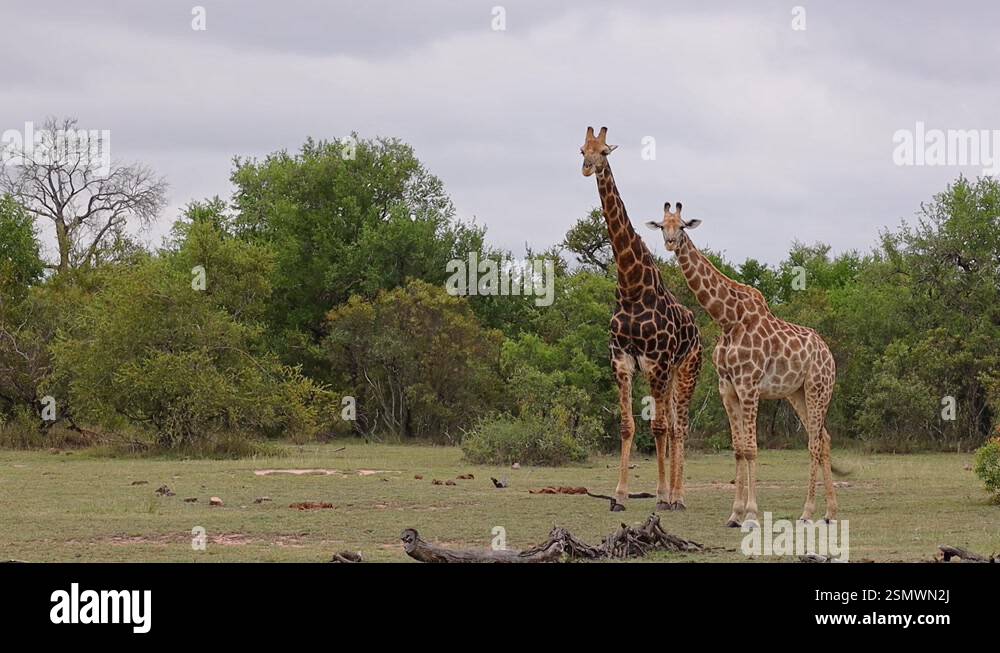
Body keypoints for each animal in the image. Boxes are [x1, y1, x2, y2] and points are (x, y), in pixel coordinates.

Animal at [580, 126, 702, 512]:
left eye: (604, 151)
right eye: (582, 150)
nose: (587, 168)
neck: (631, 287)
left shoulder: (655, 363)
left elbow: (659, 427)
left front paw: (660, 494)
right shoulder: (621, 360)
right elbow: (627, 425)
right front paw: (619, 495)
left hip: (687, 369)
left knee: (679, 426)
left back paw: (677, 496)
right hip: (672, 374)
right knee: (675, 423)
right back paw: (672, 493)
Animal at [646, 202, 838, 526]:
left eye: (682, 226)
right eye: (662, 225)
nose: (671, 242)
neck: (728, 320)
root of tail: (829, 354)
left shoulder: (749, 386)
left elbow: (750, 448)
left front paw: (750, 514)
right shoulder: (727, 389)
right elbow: (737, 449)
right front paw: (734, 514)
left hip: (818, 388)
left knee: (814, 442)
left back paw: (807, 512)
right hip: (796, 393)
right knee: (822, 437)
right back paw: (829, 512)